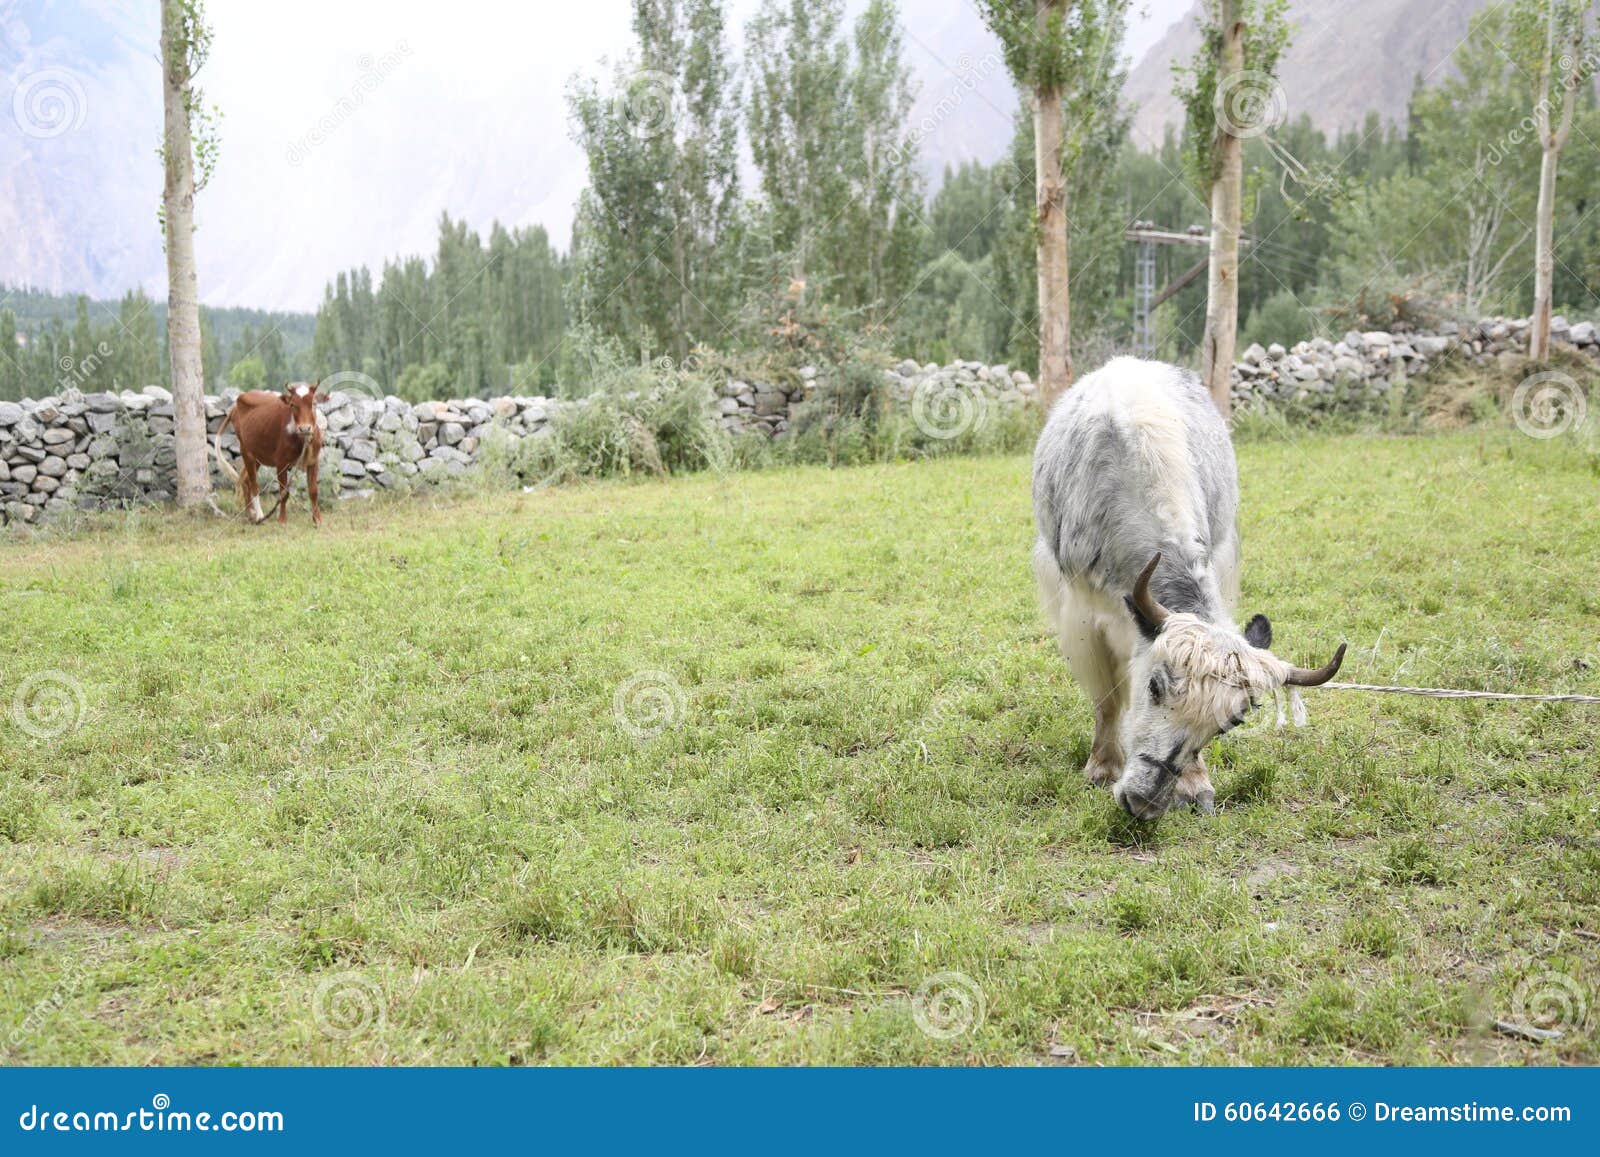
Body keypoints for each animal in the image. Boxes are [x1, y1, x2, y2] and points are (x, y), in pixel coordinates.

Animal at [212, 383, 327, 526]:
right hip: (245, 451)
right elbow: (284, 493)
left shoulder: (313, 461)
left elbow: (313, 491)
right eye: (293, 405)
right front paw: (282, 520)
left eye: (314, 403)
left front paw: (318, 520)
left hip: (256, 455)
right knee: (253, 485)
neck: (302, 439)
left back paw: (251, 514)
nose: (305, 428)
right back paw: (259, 516)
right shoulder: (281, 463)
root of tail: (235, 406)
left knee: (244, 479)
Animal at [1031, 358, 1345, 820]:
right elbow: (1108, 696)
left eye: (1232, 722)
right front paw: (1101, 767)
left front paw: (1196, 784)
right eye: (1155, 686)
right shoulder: (1085, 615)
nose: (1144, 802)